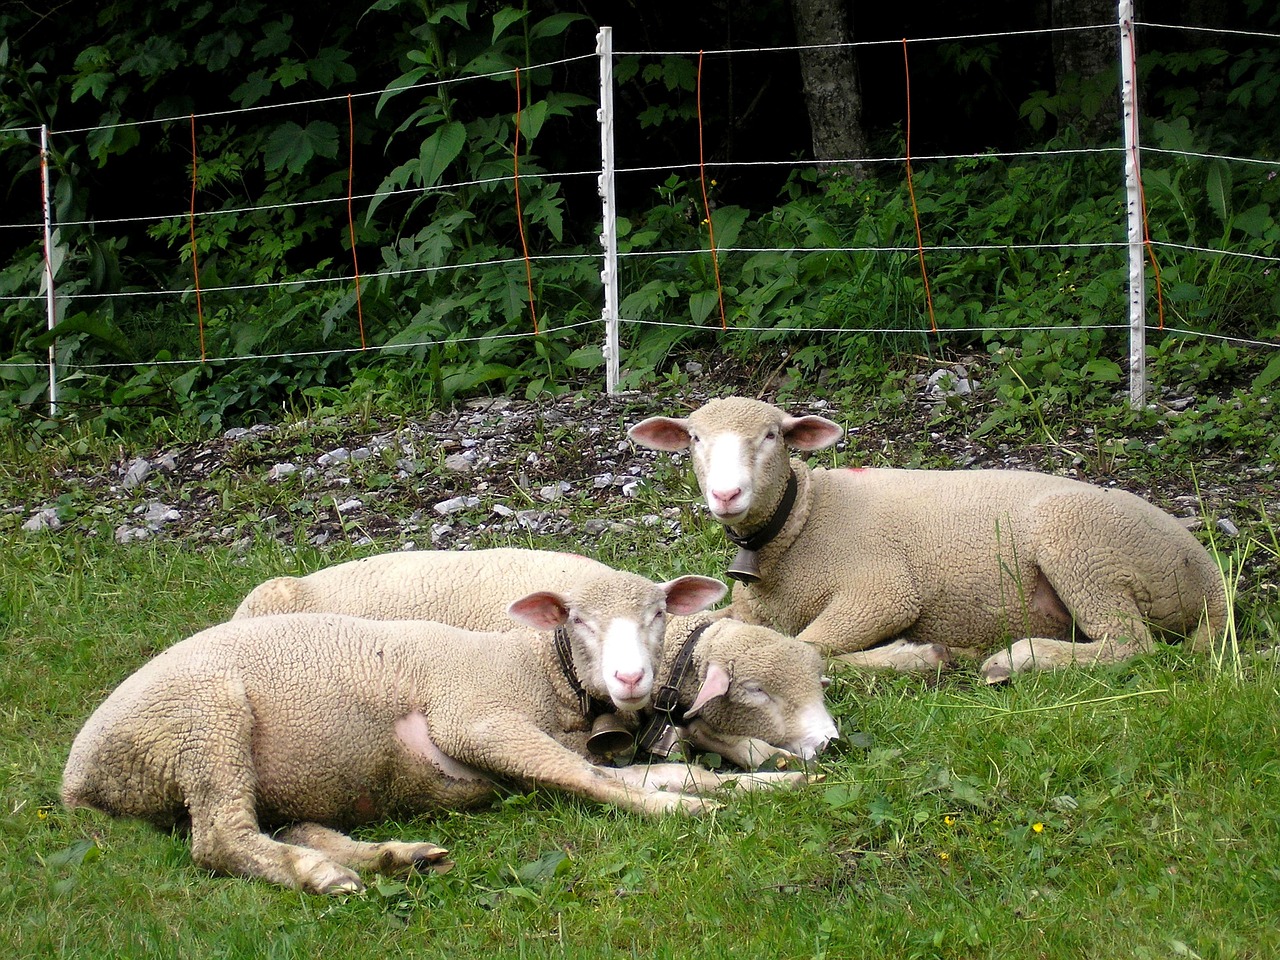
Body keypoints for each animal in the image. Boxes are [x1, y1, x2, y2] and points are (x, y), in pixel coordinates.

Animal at [62, 570, 814, 894]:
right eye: (578, 620)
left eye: (660, 614)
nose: (630, 679)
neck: (535, 667)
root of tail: (77, 778)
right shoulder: (478, 719)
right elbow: (591, 778)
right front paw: (681, 809)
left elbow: (640, 768)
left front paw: (773, 782)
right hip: (204, 725)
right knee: (219, 839)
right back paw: (322, 875)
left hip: (263, 774)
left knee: (279, 826)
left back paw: (394, 859)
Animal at [628, 396, 1228, 682]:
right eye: (695, 439)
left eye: (773, 435)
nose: (727, 494)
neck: (804, 519)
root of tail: (1210, 579)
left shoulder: (882, 591)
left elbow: (810, 648)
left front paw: (916, 657)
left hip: (1079, 543)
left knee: (1131, 645)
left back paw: (1016, 659)